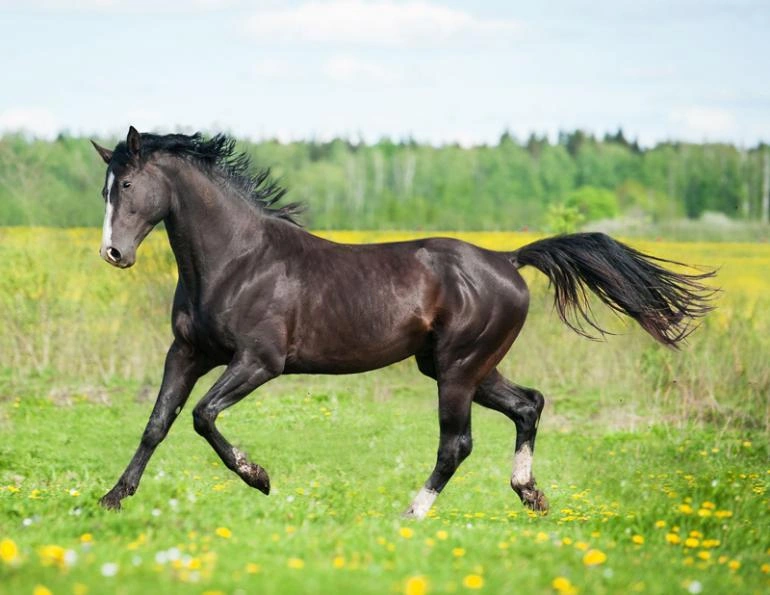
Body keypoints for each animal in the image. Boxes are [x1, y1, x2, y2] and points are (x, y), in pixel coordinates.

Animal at [90, 127, 714, 517]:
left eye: (128, 185)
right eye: (104, 188)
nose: (113, 254)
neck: (238, 260)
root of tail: (507, 260)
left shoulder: (259, 362)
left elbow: (202, 415)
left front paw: (259, 477)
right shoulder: (187, 353)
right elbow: (158, 423)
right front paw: (113, 498)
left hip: (459, 369)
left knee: (456, 443)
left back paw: (413, 511)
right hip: (460, 366)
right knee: (529, 404)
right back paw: (529, 494)